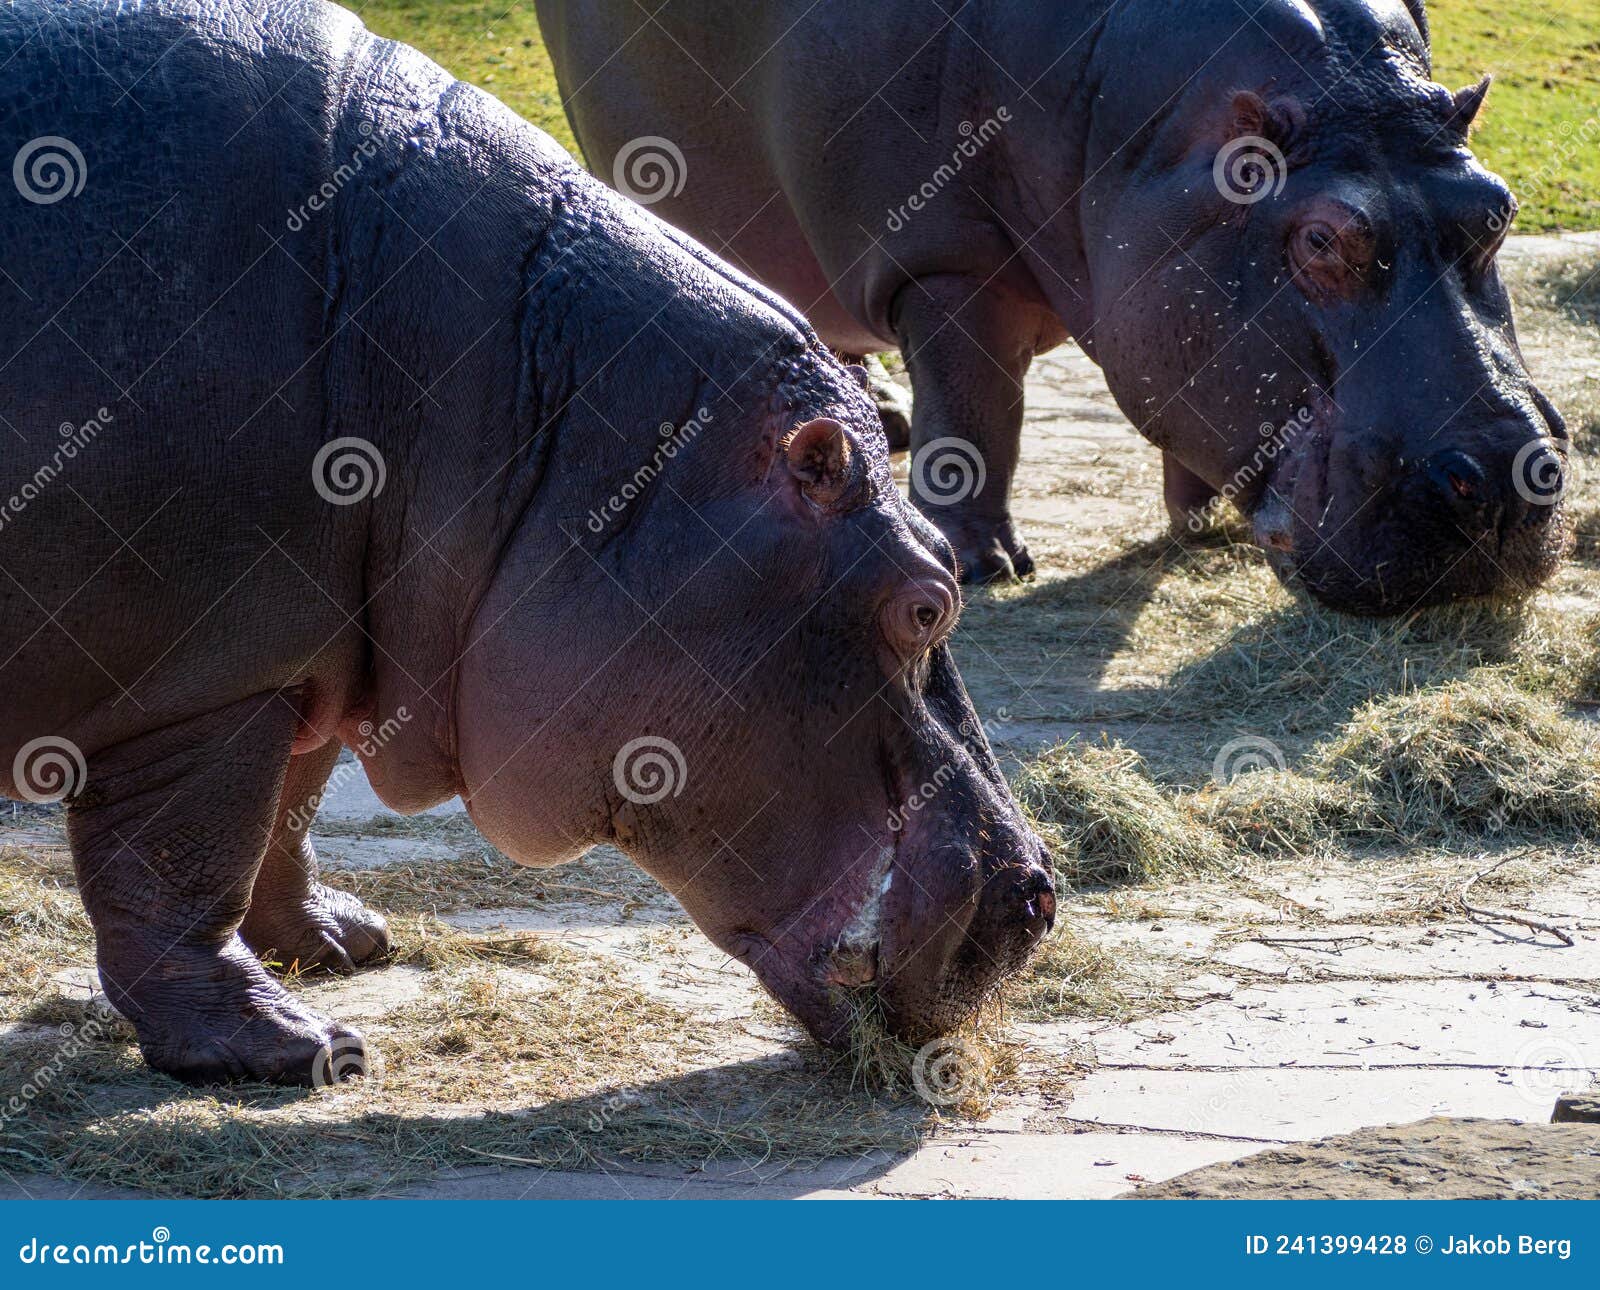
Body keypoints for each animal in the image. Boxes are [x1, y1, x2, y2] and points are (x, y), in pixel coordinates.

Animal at [0, 0, 1053, 1085]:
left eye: (944, 555)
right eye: (927, 603)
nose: (1038, 895)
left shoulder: (328, 636)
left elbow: (291, 803)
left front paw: (343, 943)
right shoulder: (216, 673)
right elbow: (191, 861)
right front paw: (302, 1048)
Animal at [536, 0, 1572, 609]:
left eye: (1500, 206)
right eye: (1320, 240)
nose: (1505, 478)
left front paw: (1195, 523)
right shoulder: (944, 259)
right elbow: (976, 414)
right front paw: (984, 566)